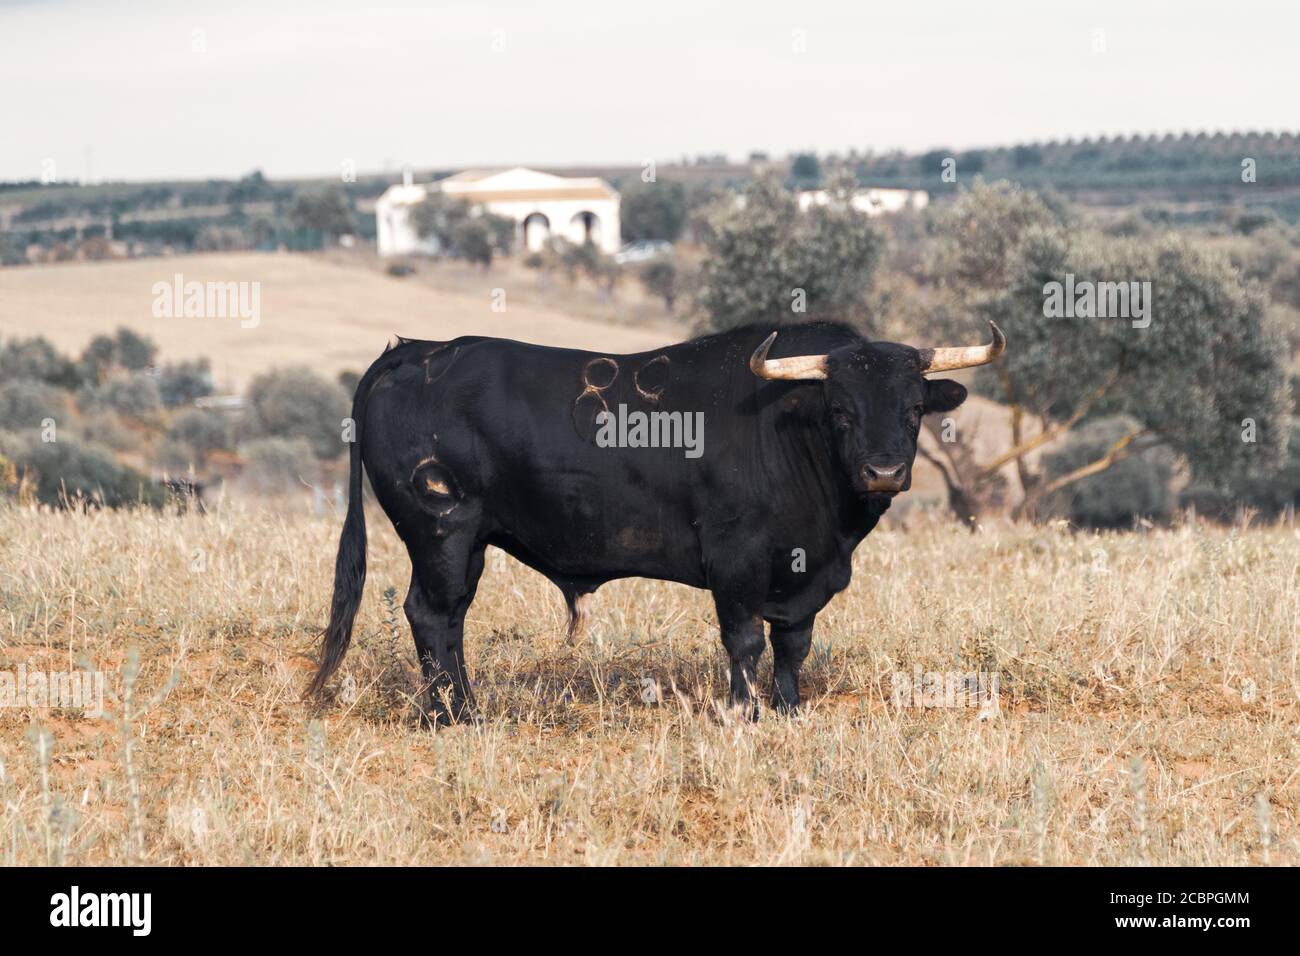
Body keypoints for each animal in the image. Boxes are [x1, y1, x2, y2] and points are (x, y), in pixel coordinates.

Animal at [308, 320, 1005, 724]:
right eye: (841, 410)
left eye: (914, 408)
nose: (883, 472)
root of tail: (418, 352)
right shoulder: (736, 560)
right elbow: (744, 641)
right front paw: (743, 714)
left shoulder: (805, 572)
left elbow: (793, 645)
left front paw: (788, 711)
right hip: (442, 531)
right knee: (432, 616)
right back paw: (453, 717)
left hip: (465, 541)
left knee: (447, 621)